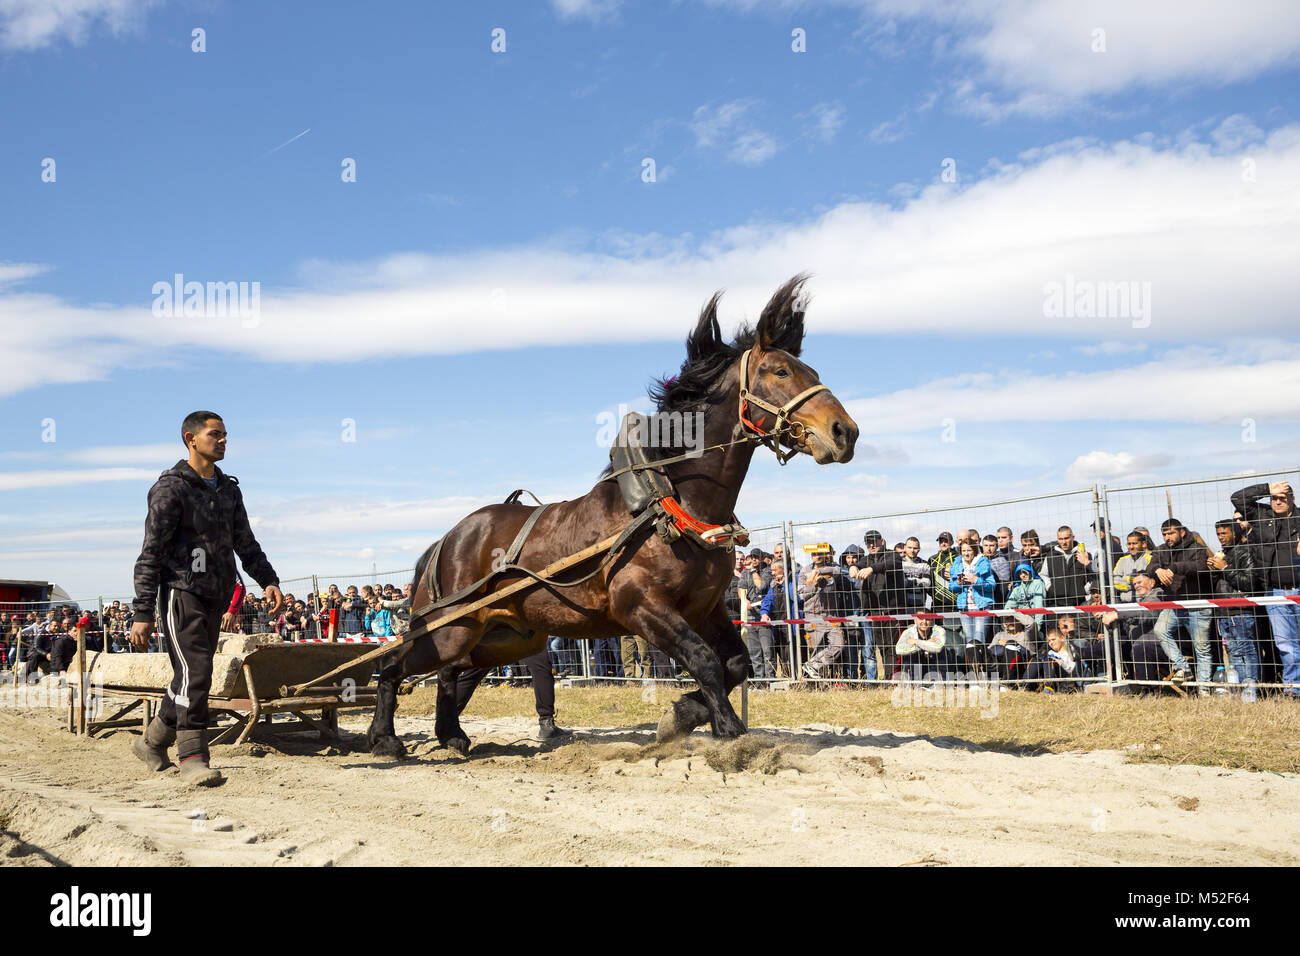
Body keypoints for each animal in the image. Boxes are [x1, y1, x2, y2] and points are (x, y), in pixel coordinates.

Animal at [365, 275, 858, 758]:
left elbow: (734, 664)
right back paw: (385, 737)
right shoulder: (641, 607)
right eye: (780, 371)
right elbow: (705, 663)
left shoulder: (705, 608)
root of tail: (448, 539)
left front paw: (684, 714)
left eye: (811, 373)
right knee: (394, 665)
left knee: (453, 672)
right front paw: (726, 729)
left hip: (505, 636)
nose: (845, 432)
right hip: (452, 629)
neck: (668, 505)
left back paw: (449, 734)